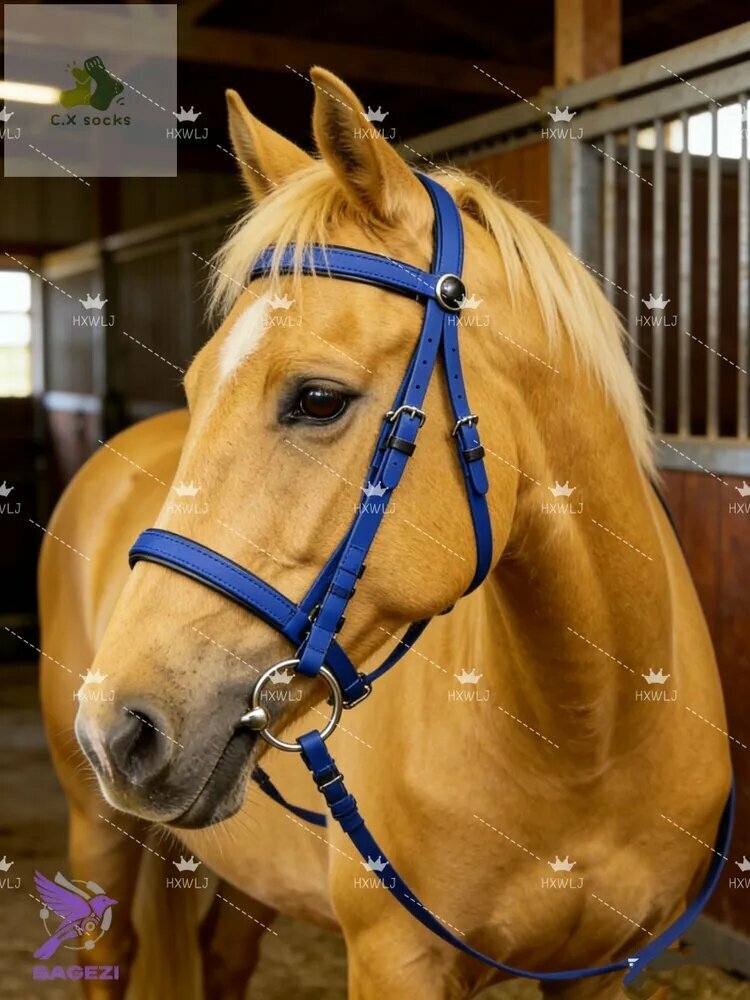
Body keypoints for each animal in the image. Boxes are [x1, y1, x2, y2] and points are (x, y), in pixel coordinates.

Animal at [39, 68, 731, 1000]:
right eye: (195, 385)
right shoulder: (393, 960)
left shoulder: (597, 971)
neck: (592, 738)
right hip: (96, 828)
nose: (118, 728)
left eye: (318, 398)